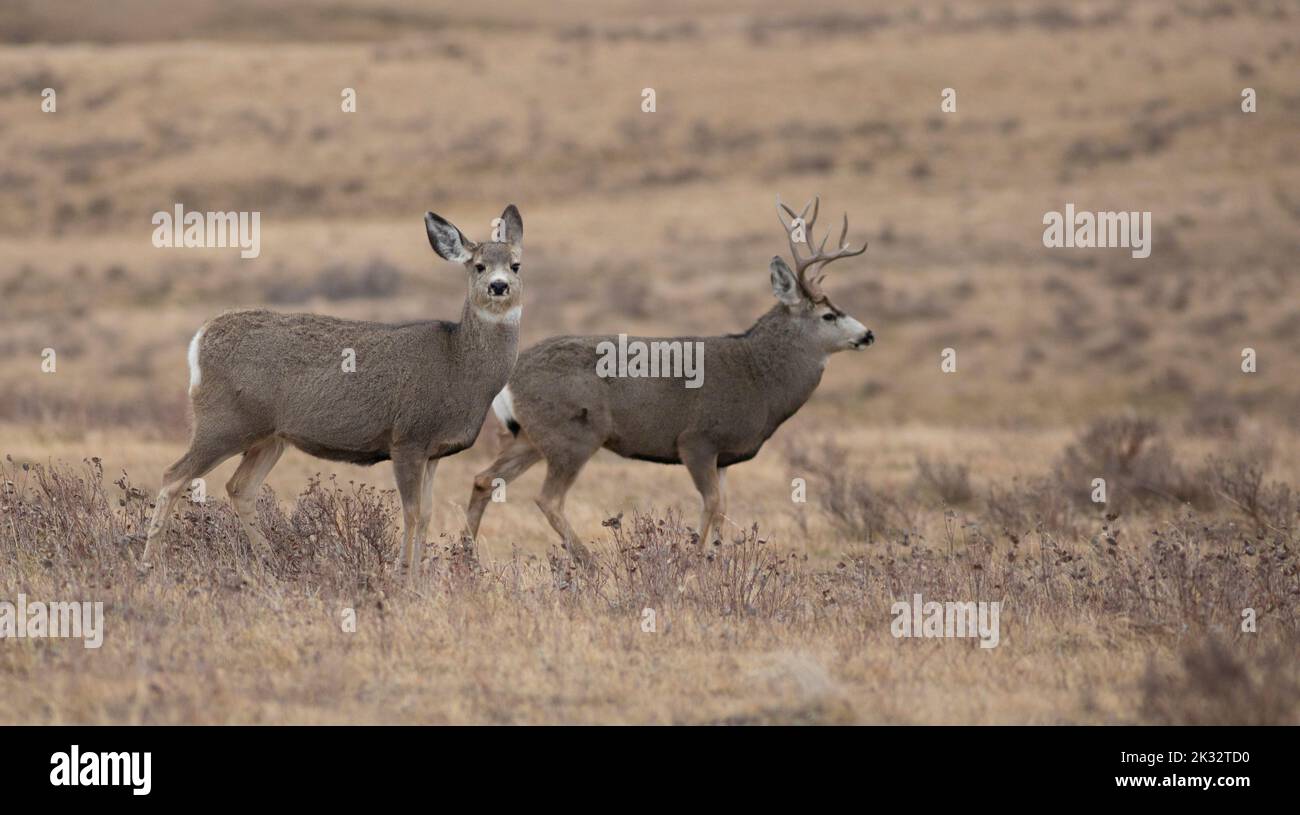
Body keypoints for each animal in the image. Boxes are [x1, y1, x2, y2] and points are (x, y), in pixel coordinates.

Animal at [142, 205, 526, 573]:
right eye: (479, 266)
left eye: (515, 264)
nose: (499, 286)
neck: (458, 366)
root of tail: (200, 339)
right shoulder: (407, 438)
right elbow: (412, 513)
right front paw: (403, 578)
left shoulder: (433, 451)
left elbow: (427, 515)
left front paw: (419, 579)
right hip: (223, 422)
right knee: (174, 475)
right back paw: (149, 564)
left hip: (269, 436)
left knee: (240, 487)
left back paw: (272, 565)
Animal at [464, 197, 873, 565]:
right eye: (828, 315)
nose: (868, 334)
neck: (759, 378)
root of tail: (508, 376)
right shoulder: (697, 439)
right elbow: (712, 504)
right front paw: (691, 561)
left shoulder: (724, 455)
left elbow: (723, 508)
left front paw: (718, 562)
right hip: (573, 434)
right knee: (547, 498)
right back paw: (589, 562)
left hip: (530, 436)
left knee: (484, 480)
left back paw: (468, 559)